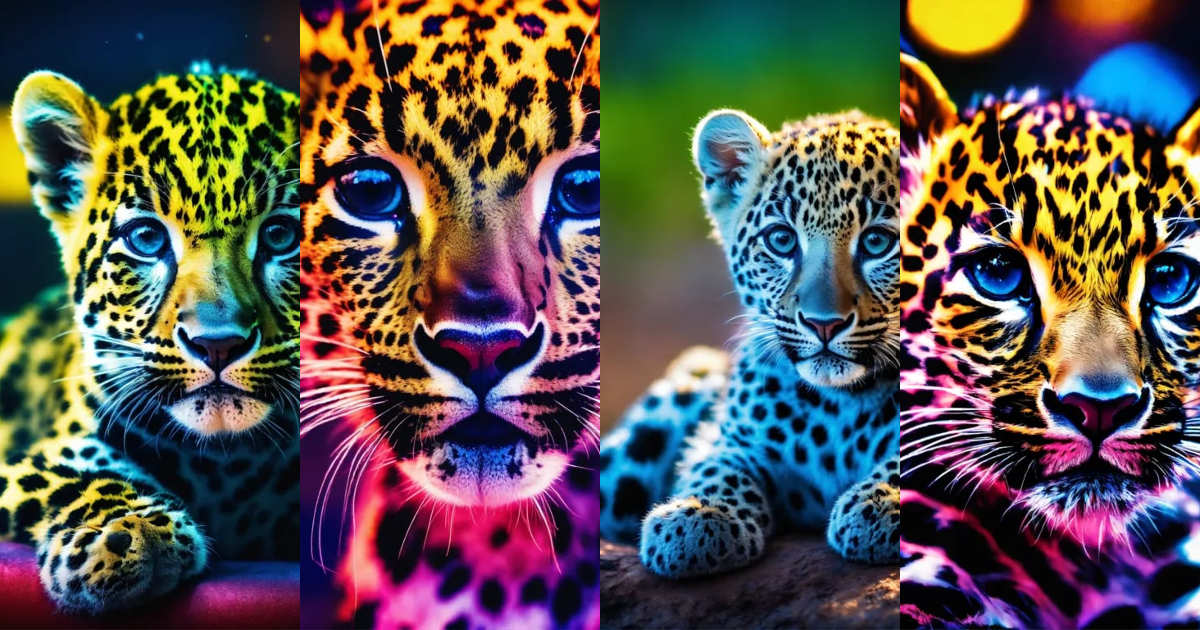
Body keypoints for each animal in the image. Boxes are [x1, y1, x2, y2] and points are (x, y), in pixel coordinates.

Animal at [0, 64, 300, 614]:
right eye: (146, 239)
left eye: (280, 236)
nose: (218, 344)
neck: (222, 469)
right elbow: (66, 470)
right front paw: (127, 532)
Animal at [598, 107, 903, 579]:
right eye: (781, 239)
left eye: (876, 242)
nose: (825, 324)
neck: (840, 404)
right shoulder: (730, 439)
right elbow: (718, 466)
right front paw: (699, 515)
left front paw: (882, 504)